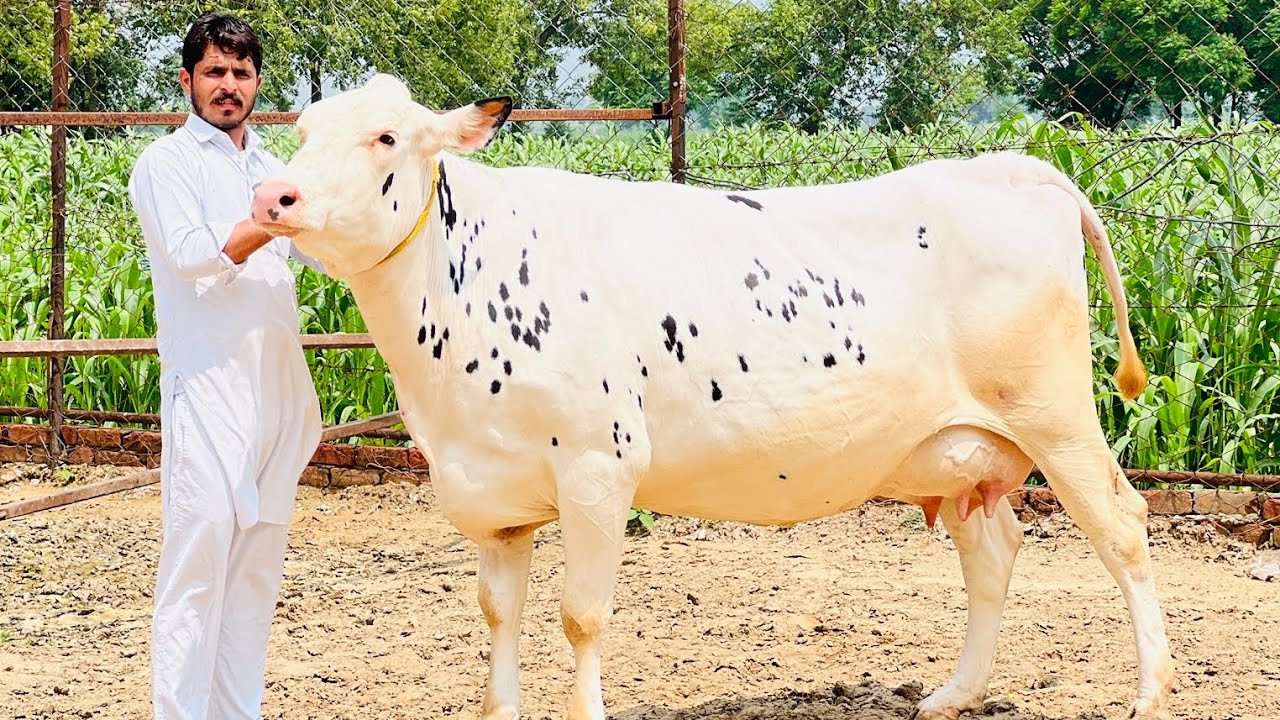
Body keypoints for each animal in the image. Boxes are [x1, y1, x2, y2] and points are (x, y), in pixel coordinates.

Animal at [250, 73, 1174, 720]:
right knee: (994, 554)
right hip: (956, 450)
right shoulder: (489, 491)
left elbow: (581, 616)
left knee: (1123, 528)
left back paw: (1150, 693)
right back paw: (954, 693)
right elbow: (497, 612)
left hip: (1055, 415)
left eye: (385, 136)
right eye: (301, 131)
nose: (273, 197)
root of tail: (1012, 170)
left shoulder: (597, 469)